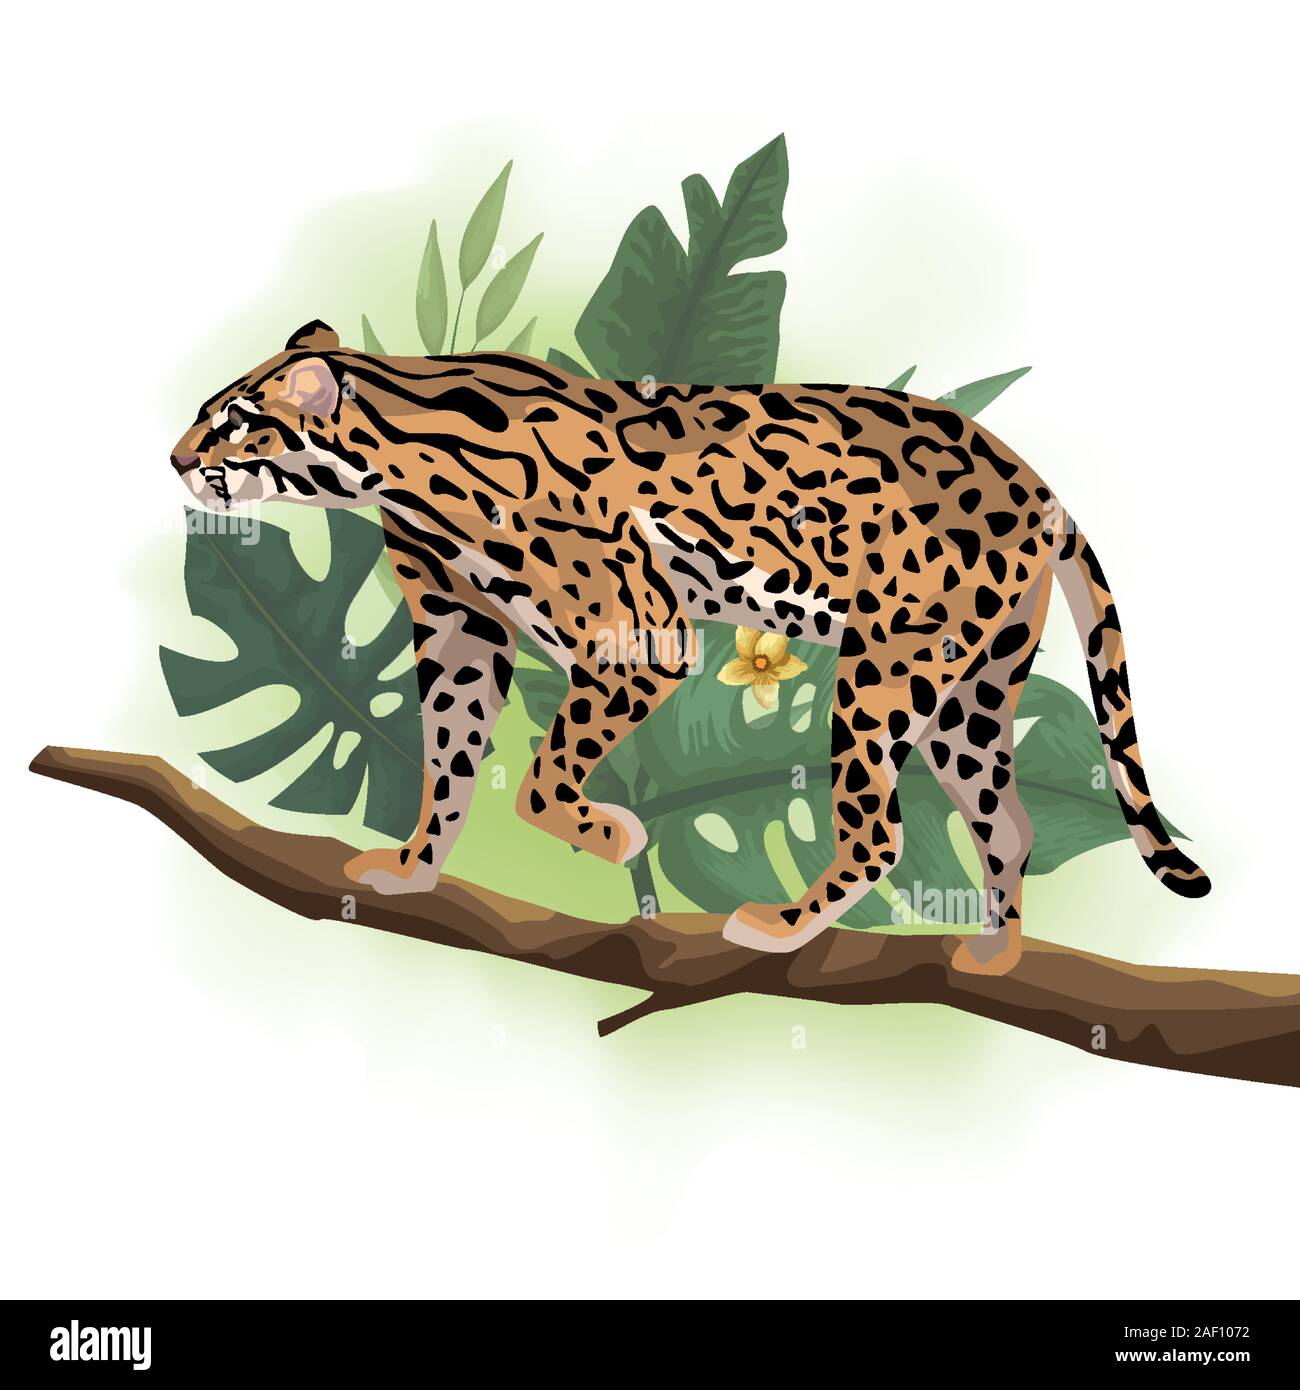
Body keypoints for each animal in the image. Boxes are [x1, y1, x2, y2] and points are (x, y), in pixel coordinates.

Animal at [170, 321, 1210, 975]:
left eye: (233, 422)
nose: (176, 459)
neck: (394, 471)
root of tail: (1040, 486)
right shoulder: (461, 631)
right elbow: (451, 759)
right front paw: (413, 865)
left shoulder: (639, 634)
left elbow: (543, 777)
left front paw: (610, 833)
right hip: (969, 693)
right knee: (1009, 825)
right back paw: (995, 947)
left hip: (883, 673)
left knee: (881, 830)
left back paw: (781, 927)